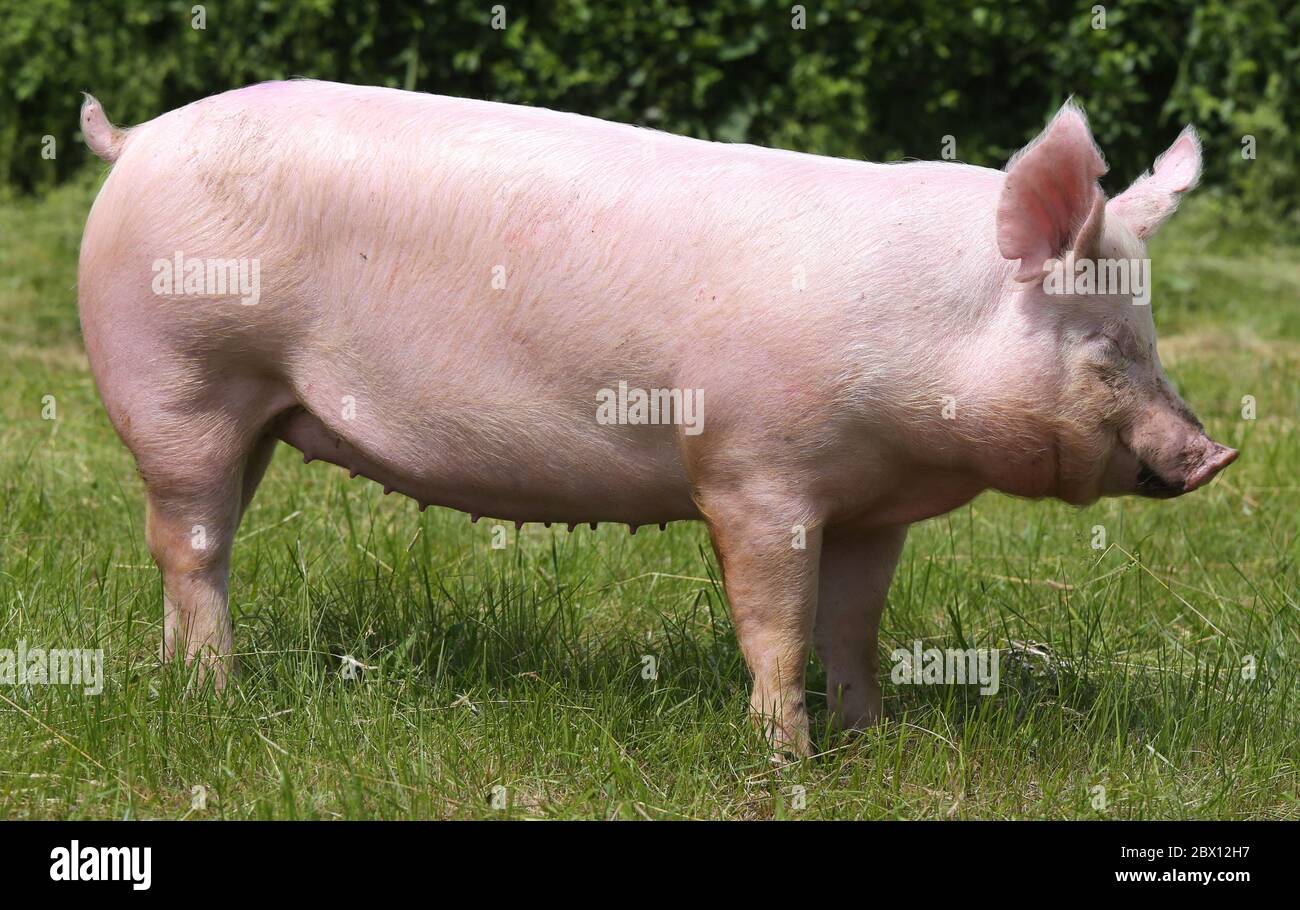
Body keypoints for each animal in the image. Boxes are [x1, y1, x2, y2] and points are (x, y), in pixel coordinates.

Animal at [77, 81, 1236, 756]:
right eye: (1105, 344)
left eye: (1147, 333)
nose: (1214, 452)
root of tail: (132, 140)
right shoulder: (752, 472)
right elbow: (774, 621)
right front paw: (785, 757)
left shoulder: (872, 506)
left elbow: (854, 622)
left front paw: (873, 737)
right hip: (180, 378)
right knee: (192, 542)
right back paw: (217, 698)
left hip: (249, 413)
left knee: (195, 538)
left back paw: (181, 683)